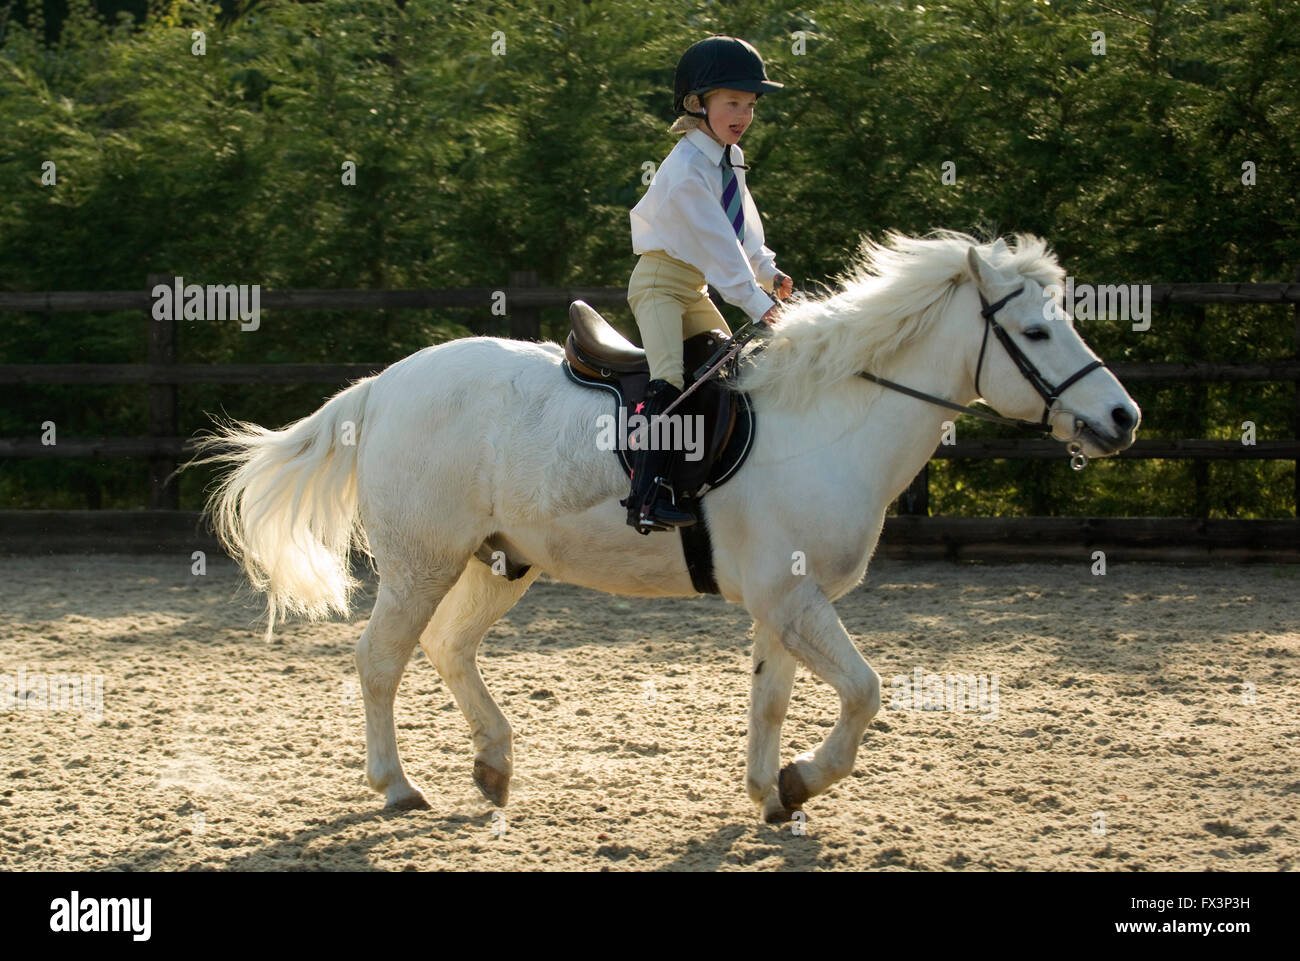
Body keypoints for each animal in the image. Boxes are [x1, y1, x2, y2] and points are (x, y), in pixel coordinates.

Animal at [193, 230, 1140, 823]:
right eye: (1034, 331)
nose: (1121, 418)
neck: (831, 415)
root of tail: (384, 385)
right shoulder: (795, 601)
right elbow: (865, 693)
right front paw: (803, 779)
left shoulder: (783, 604)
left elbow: (770, 698)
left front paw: (772, 793)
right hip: (422, 561)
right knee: (382, 660)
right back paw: (397, 786)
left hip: (501, 561)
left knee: (448, 647)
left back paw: (494, 766)